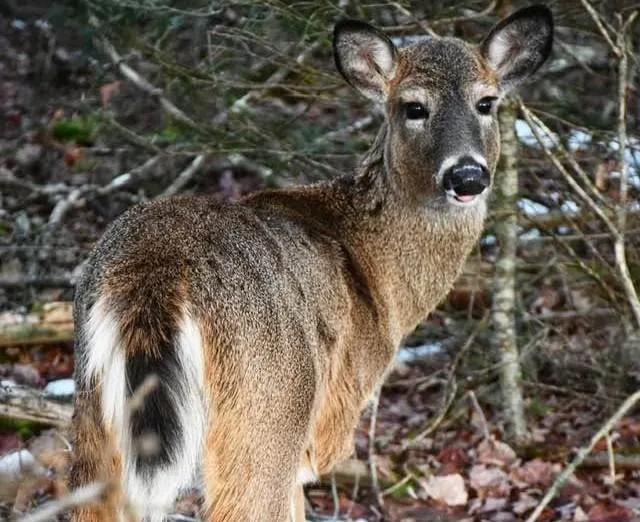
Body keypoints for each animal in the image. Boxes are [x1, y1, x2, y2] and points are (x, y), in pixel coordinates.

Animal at [70, 5, 552, 521]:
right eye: (413, 107)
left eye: (487, 102)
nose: (467, 175)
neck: (377, 276)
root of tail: (156, 271)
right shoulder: (322, 429)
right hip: (268, 408)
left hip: (93, 417)